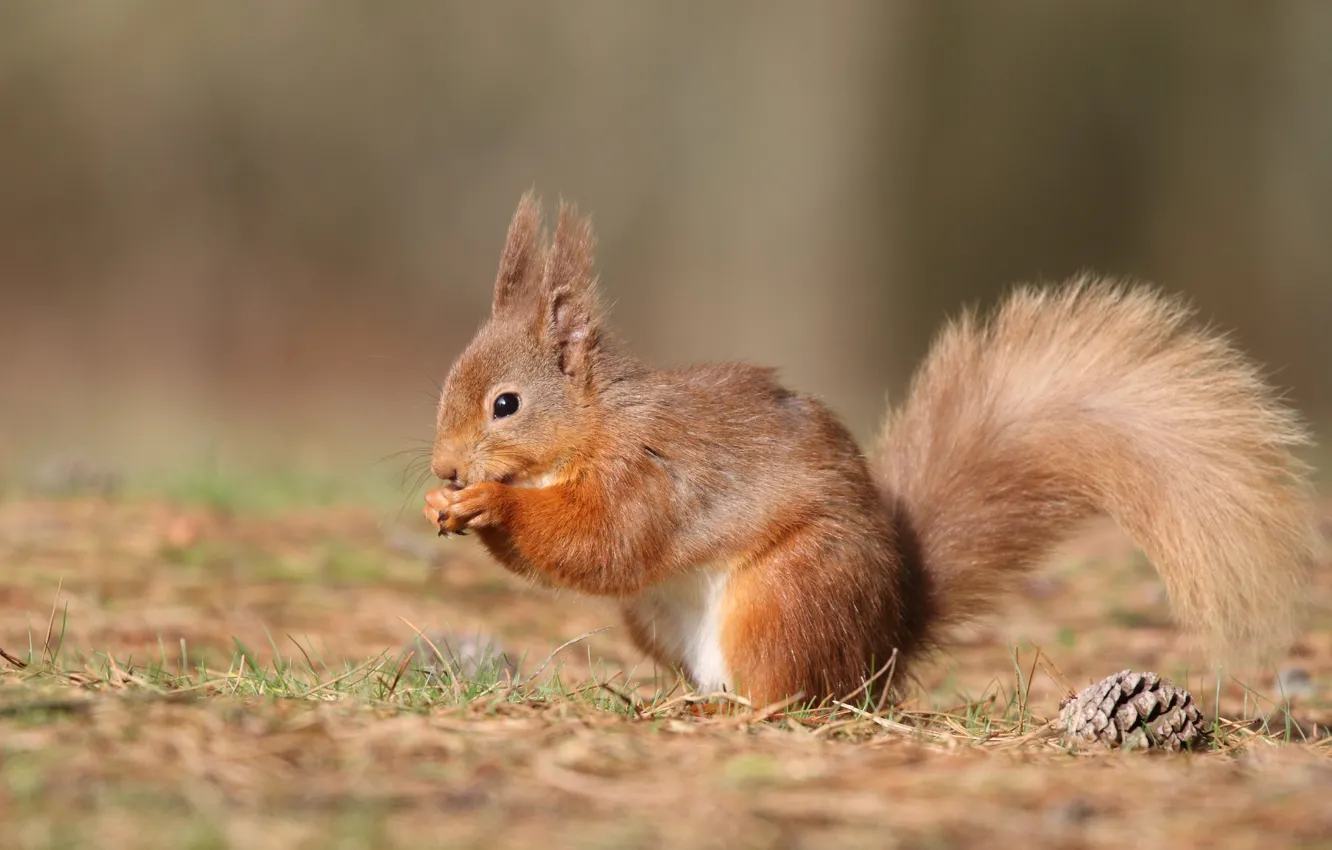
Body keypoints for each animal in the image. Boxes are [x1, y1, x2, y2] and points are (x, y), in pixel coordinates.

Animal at [423, 192, 1319, 706]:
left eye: (505, 404)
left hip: (789, 595)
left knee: (792, 692)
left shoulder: (648, 473)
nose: (444, 468)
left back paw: (734, 708)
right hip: (659, 622)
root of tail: (884, 644)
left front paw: (490, 503)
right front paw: (444, 503)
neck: (598, 422)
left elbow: (600, 541)